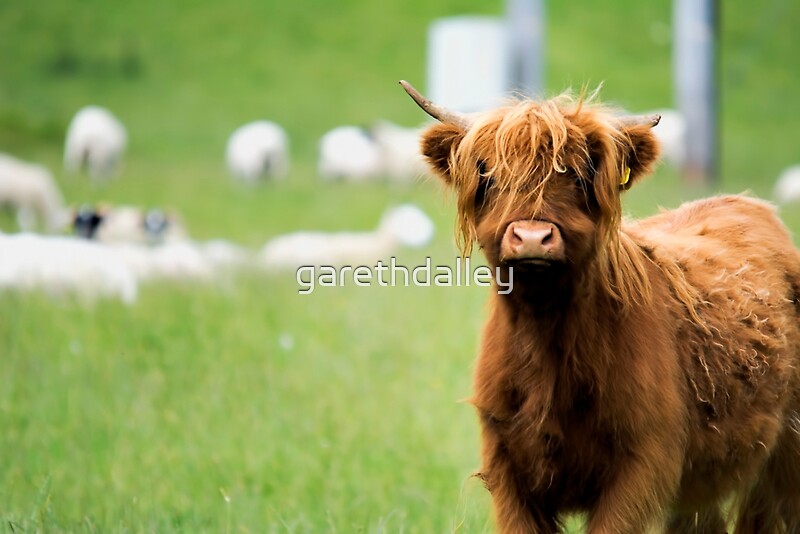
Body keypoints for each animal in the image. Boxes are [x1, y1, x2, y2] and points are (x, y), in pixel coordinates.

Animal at [400, 80, 800, 533]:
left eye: (579, 174)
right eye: (489, 173)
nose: (532, 237)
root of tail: (745, 202)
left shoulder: (640, 465)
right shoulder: (507, 467)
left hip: (784, 461)